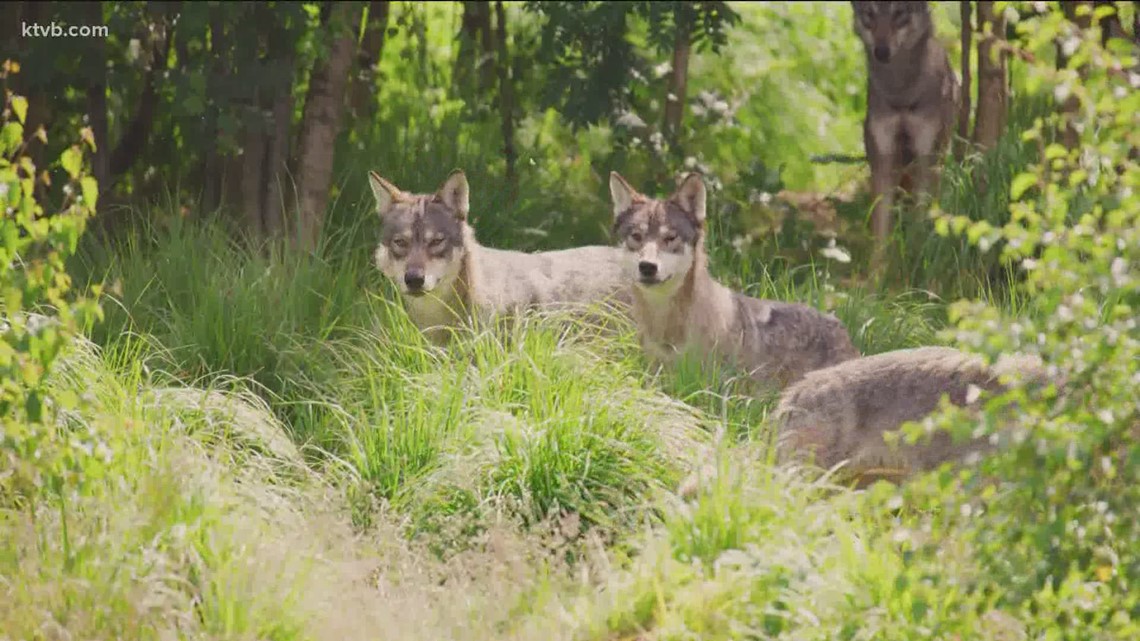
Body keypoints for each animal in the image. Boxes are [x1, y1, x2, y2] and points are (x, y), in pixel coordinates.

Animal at [851, 1, 961, 264]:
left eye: (899, 13)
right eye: (869, 13)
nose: (881, 51)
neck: (900, 94)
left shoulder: (925, 159)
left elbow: (919, 223)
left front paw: (915, 262)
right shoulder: (882, 160)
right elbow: (880, 233)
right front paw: (878, 273)